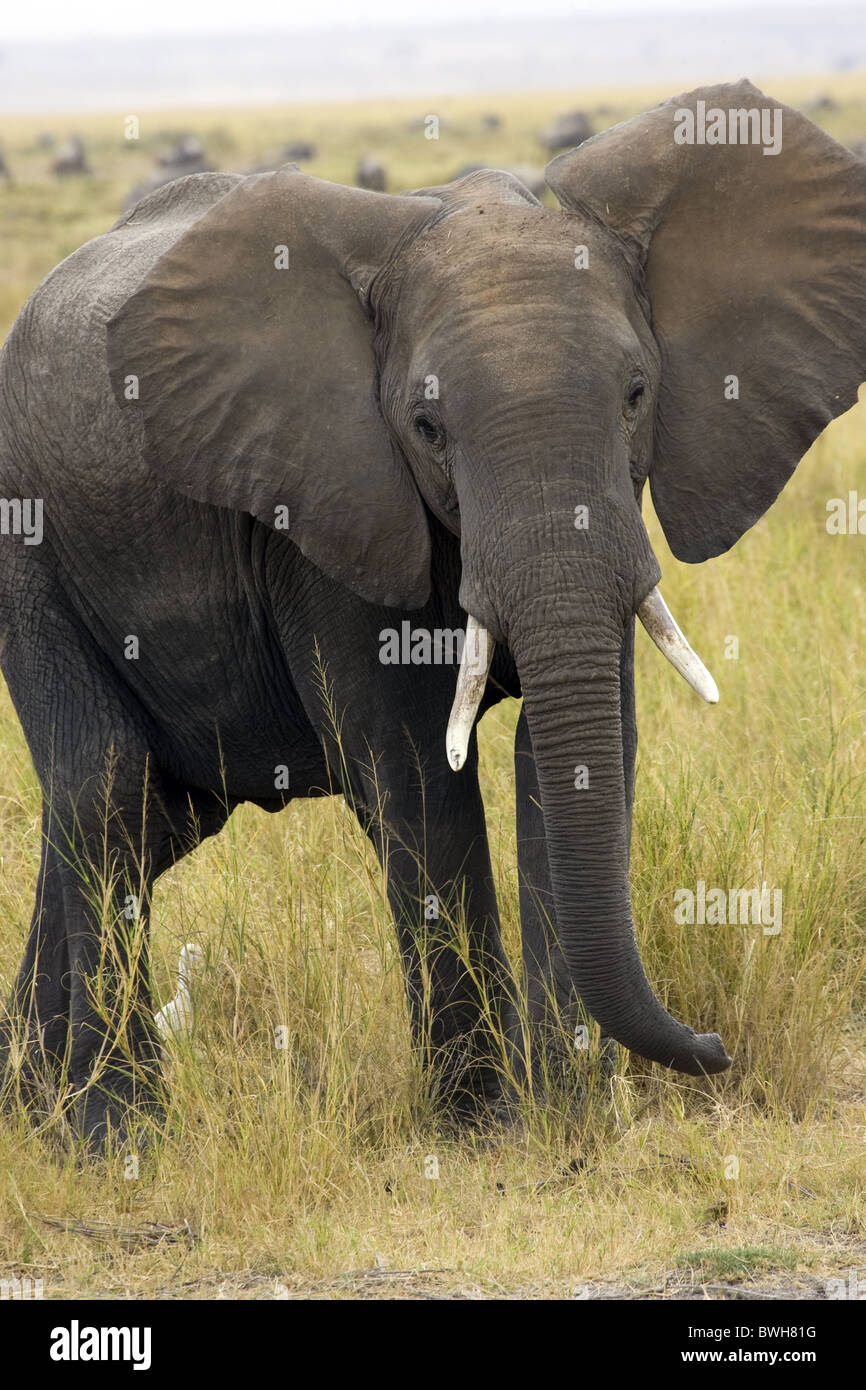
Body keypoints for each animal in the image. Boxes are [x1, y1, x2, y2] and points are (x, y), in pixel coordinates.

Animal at [1, 81, 865, 1150]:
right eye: (426, 427)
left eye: (637, 393)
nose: (716, 1051)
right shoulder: (325, 504)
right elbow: (416, 776)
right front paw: (483, 1124)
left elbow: (576, 751)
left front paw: (567, 1112)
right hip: (28, 548)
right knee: (106, 790)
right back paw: (116, 1134)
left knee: (152, 816)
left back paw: (32, 1109)